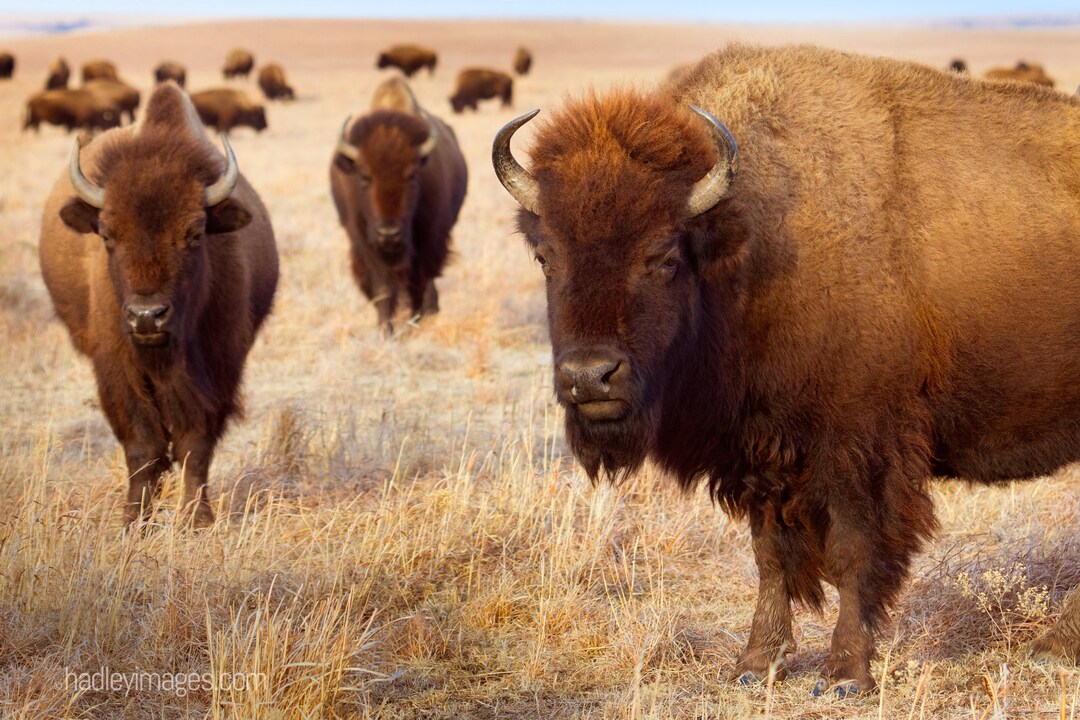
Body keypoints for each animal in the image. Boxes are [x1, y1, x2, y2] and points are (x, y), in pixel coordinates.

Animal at [38, 81, 278, 527]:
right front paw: (135, 521)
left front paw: (197, 520)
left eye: (195, 234)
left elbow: (196, 446)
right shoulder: (117, 371)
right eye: (107, 235)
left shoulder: (219, 368)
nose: (147, 317)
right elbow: (143, 448)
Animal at [331, 77, 467, 334]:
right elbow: (383, 289)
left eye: (411, 177)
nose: (389, 233)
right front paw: (386, 332)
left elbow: (422, 281)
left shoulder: (429, 239)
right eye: (364, 177)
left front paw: (422, 318)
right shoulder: (365, 243)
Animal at [493, 44, 1080, 695]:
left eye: (664, 256)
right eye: (545, 256)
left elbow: (853, 550)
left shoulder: (859, 447)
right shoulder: (762, 453)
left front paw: (845, 672)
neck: (748, 238)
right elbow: (770, 554)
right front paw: (755, 664)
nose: (590, 377)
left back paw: (1053, 649)